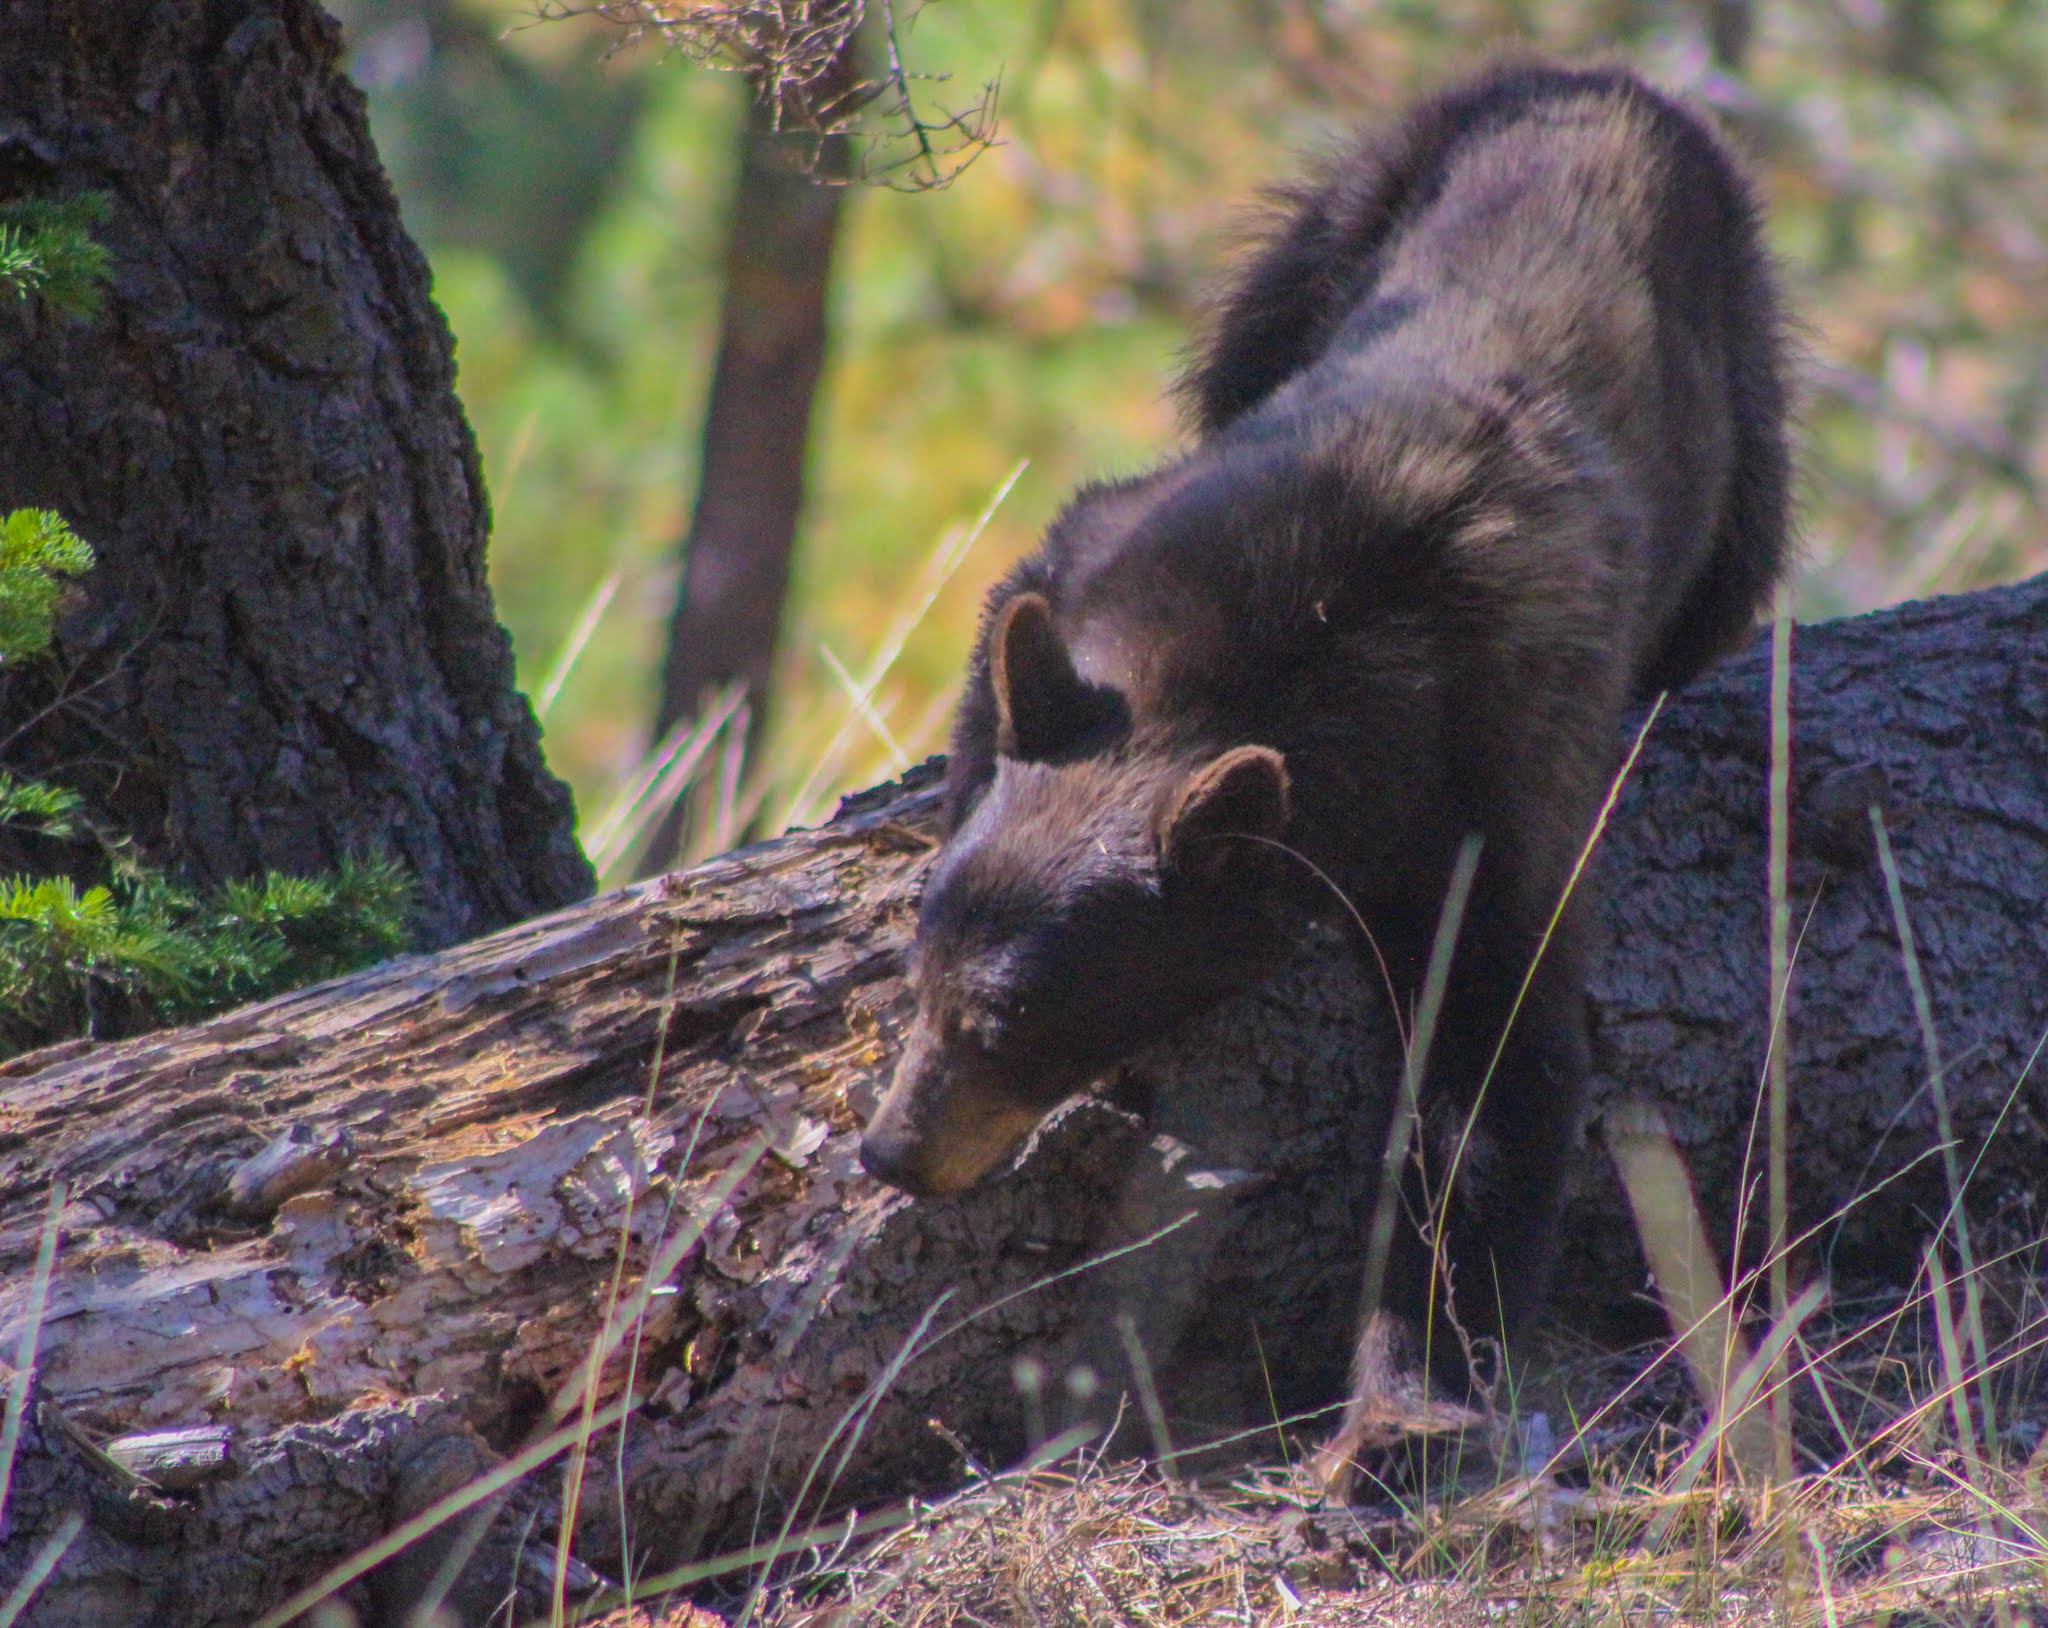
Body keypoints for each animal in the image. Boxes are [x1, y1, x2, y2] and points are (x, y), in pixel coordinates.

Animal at [859, 55, 1793, 1460]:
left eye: (1010, 1019)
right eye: (918, 976)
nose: (891, 1153)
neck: (1295, 651)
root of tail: (1605, 76)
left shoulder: (1496, 781)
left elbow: (1489, 1072)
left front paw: (1413, 1392)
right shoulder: (1131, 540)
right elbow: (1015, 621)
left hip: (1739, 389)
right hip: (1337, 219)